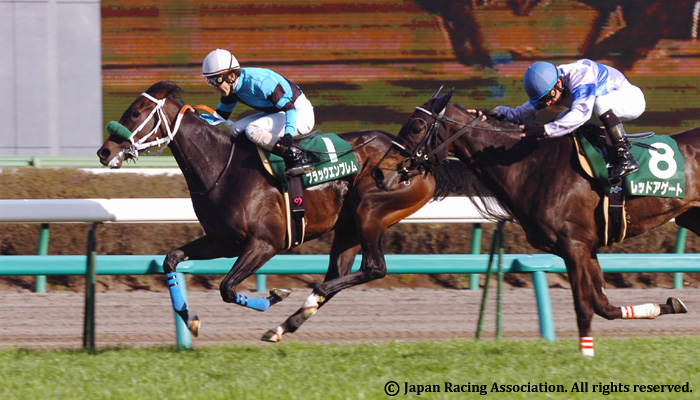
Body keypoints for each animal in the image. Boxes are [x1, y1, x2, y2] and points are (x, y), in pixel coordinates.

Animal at [96, 81, 472, 342]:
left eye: (136, 112)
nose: (104, 152)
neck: (222, 168)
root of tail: (418, 158)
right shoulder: (222, 241)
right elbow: (172, 259)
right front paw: (189, 319)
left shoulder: (266, 243)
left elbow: (227, 288)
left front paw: (274, 295)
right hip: (349, 226)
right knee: (338, 274)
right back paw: (287, 323)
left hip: (371, 212)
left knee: (373, 269)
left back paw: (298, 307)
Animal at [371, 88, 690, 356]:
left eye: (416, 127)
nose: (379, 172)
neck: (531, 164)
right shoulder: (586, 247)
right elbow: (602, 305)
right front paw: (666, 305)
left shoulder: (574, 245)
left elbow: (584, 305)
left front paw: (586, 356)